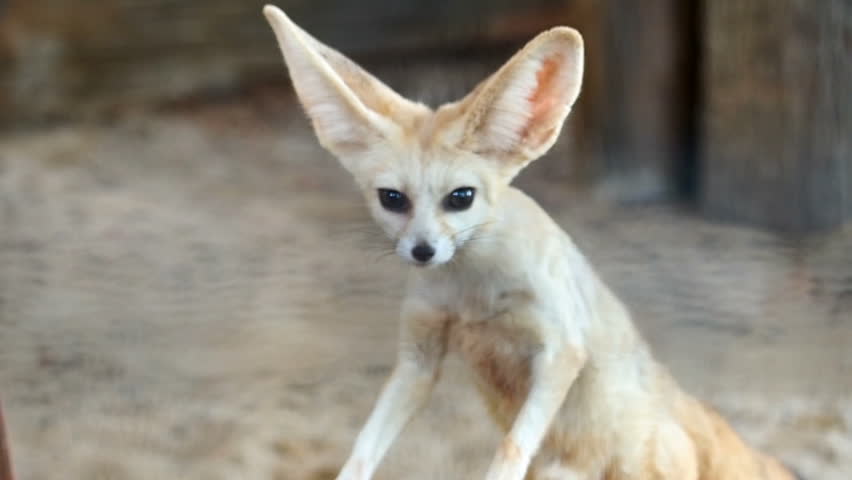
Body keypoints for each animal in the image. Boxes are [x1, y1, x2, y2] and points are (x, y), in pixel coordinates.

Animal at [262, 5, 801, 480]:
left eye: (461, 197)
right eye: (393, 199)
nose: (423, 252)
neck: (473, 293)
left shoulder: (560, 347)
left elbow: (512, 445)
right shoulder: (420, 356)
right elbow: (364, 445)